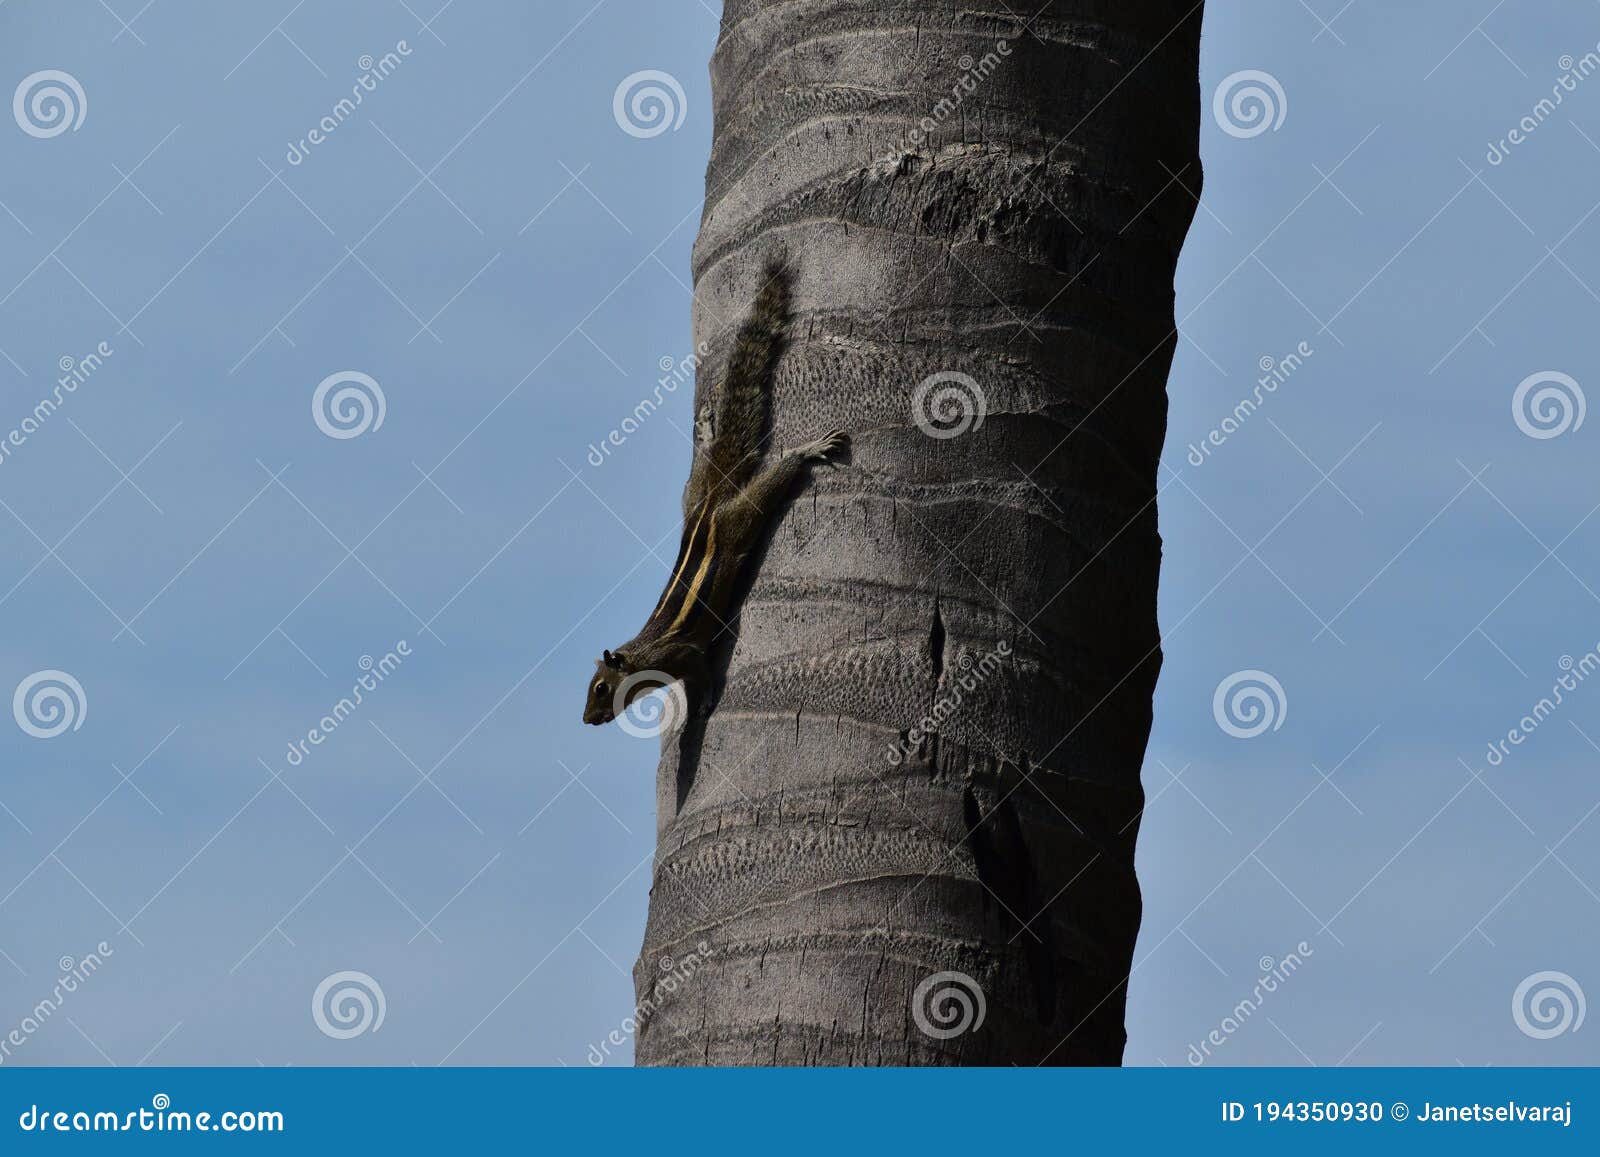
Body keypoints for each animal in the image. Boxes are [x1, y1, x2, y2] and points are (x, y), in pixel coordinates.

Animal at [583, 256, 848, 727]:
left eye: (600, 688)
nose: (586, 719)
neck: (642, 654)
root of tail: (708, 504)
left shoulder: (681, 655)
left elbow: (700, 672)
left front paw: (704, 701)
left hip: (736, 520)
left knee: (771, 484)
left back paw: (806, 451)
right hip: (692, 491)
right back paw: (708, 429)